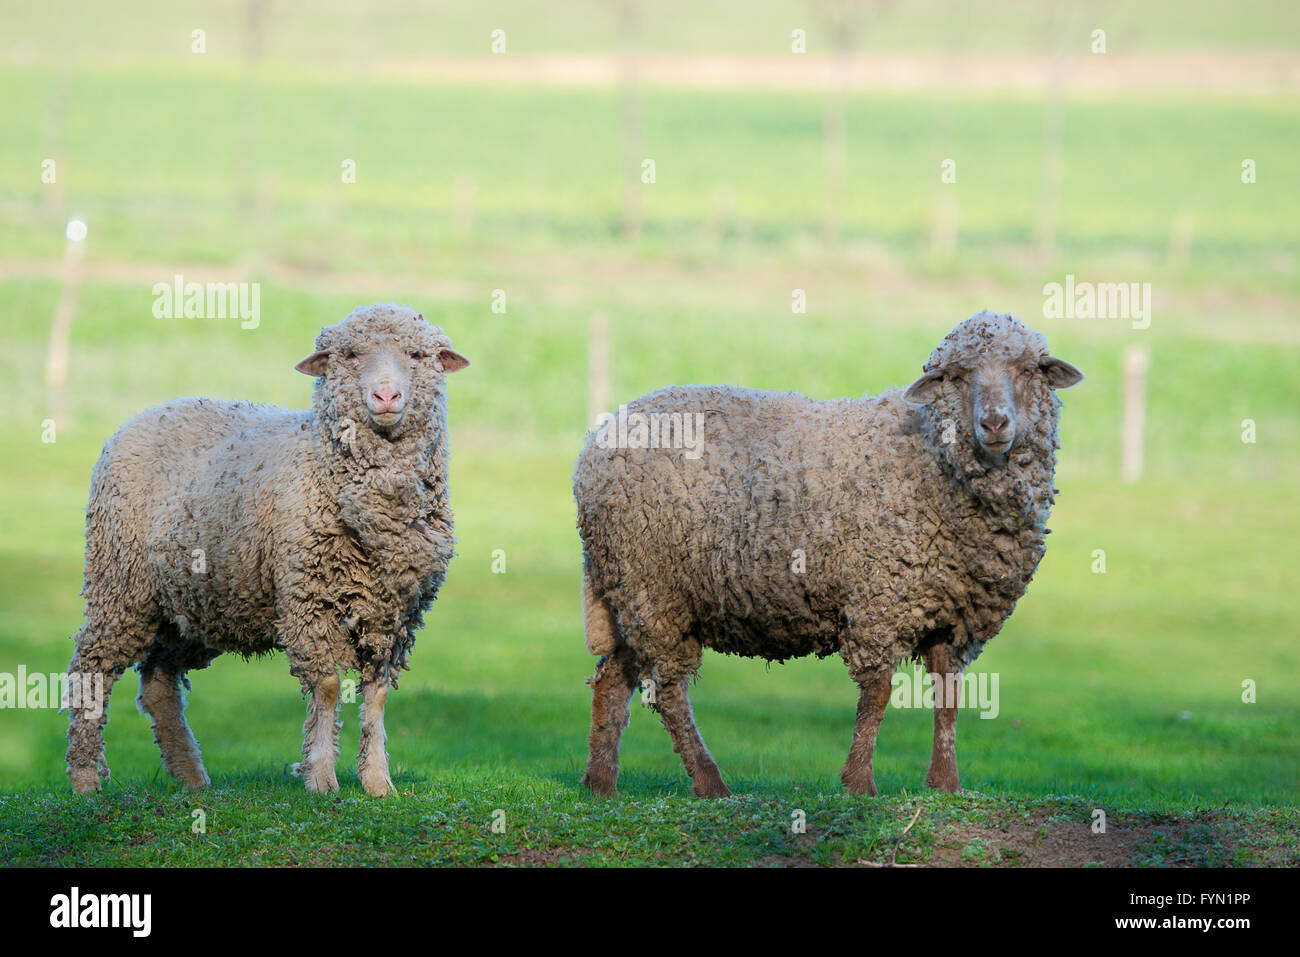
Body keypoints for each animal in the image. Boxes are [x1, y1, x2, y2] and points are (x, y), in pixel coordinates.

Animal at [64, 303, 469, 797]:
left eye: (416, 354)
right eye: (351, 354)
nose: (387, 395)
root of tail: (147, 413)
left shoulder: (394, 615)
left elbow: (376, 696)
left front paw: (377, 782)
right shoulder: (308, 600)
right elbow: (328, 687)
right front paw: (321, 778)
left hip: (195, 602)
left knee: (159, 681)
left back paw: (192, 777)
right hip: (120, 584)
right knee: (91, 667)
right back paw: (86, 779)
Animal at [574, 310, 1082, 798]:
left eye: (1029, 370)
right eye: (956, 376)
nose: (994, 424)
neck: (929, 457)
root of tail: (597, 440)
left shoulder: (954, 615)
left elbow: (948, 698)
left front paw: (946, 783)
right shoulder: (879, 601)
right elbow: (877, 695)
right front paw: (859, 784)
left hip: (628, 590)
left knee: (612, 679)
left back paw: (601, 784)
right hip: (652, 586)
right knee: (668, 689)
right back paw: (709, 783)